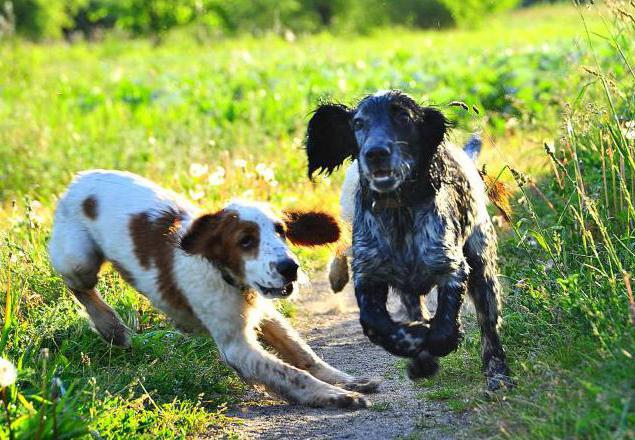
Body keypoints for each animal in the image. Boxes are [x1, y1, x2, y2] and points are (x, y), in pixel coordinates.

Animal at [49, 170, 380, 408]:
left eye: (281, 231)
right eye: (245, 240)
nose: (290, 267)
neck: (226, 276)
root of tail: (79, 179)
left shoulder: (263, 313)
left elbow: (303, 353)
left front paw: (346, 381)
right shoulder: (236, 345)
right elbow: (292, 374)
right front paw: (335, 396)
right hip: (79, 261)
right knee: (78, 287)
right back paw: (111, 327)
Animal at [306, 90, 516, 392]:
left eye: (403, 118)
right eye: (358, 123)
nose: (375, 153)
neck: (398, 212)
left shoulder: (452, 268)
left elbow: (443, 328)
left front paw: (438, 340)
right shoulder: (368, 274)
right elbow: (378, 325)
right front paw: (416, 344)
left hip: (482, 268)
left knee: (489, 327)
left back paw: (497, 373)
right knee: (412, 306)